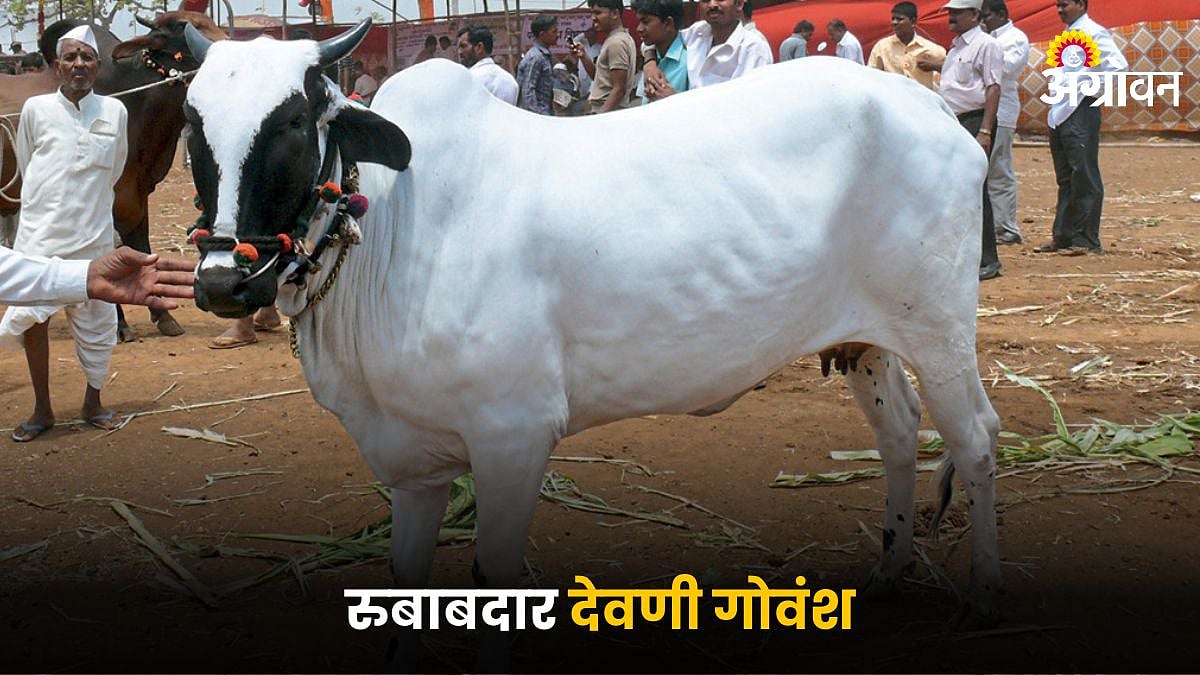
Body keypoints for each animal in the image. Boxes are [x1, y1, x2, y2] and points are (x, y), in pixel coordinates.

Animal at [182, 19, 1003, 654]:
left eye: (293, 121)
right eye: (192, 125)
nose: (224, 283)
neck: (394, 225)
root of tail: (925, 105)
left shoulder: (513, 436)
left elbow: (493, 580)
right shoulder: (411, 462)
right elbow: (404, 582)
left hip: (939, 331)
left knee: (976, 438)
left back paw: (979, 599)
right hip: (870, 340)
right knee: (900, 432)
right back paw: (888, 573)